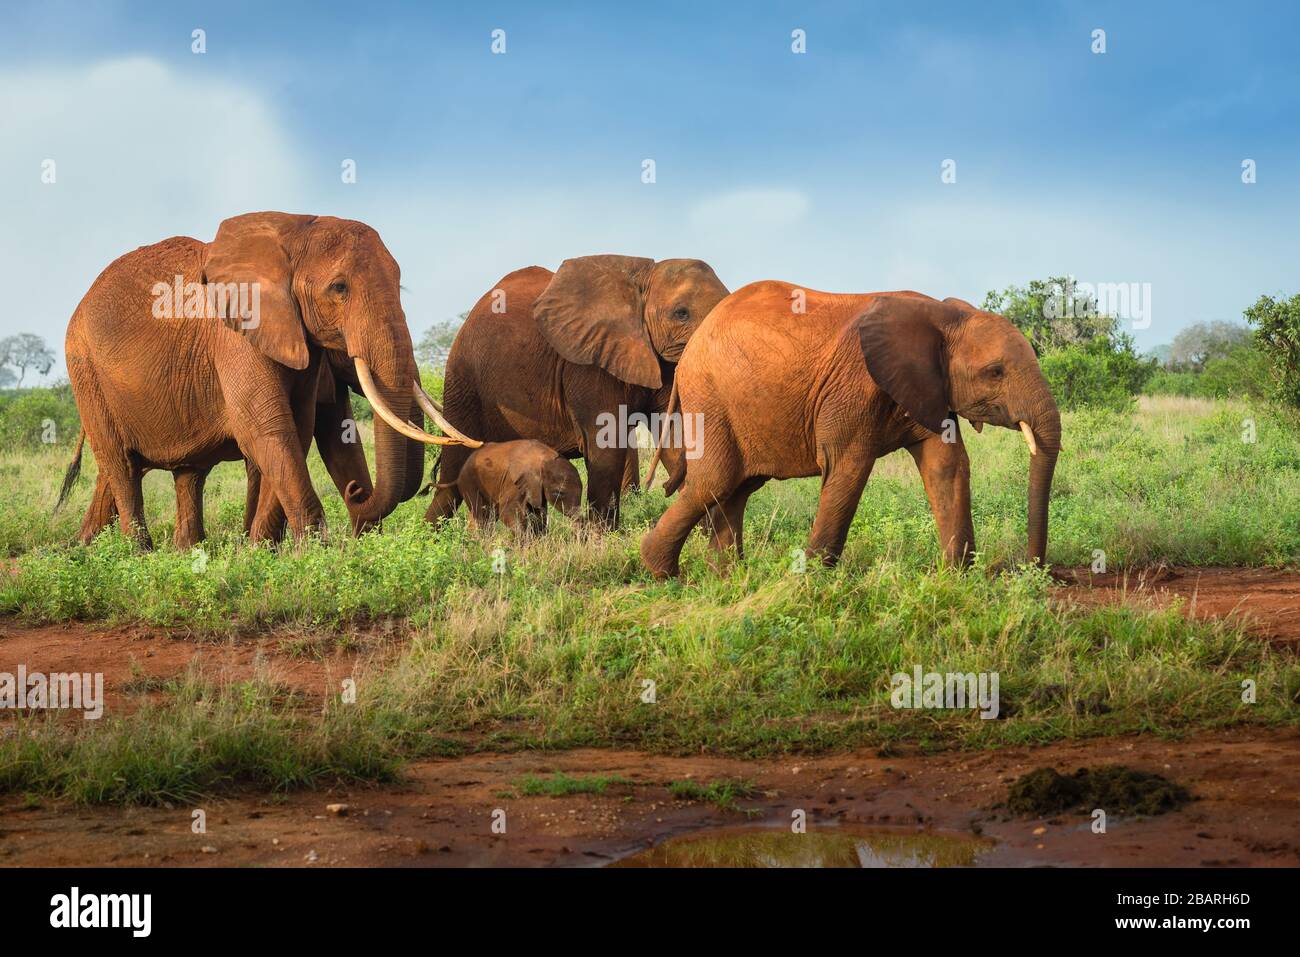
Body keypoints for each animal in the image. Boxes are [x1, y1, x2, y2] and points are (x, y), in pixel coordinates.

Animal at [61, 211, 478, 549]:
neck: (291, 233)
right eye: (339, 288)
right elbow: (268, 430)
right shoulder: (237, 336)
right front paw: (314, 556)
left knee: (184, 473)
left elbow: (308, 432)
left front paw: (259, 550)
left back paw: (169, 552)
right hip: (85, 369)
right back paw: (136, 555)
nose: (357, 492)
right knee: (121, 465)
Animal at [431, 439, 583, 535]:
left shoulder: (535, 487)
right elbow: (508, 511)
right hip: (469, 483)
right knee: (483, 515)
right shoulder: (513, 481)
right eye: (559, 493)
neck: (545, 457)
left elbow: (538, 513)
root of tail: (458, 477)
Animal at [639, 285, 1062, 579]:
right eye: (995, 372)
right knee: (715, 480)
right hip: (710, 398)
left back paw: (727, 578)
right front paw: (811, 580)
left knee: (737, 488)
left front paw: (957, 577)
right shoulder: (855, 387)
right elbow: (848, 468)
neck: (945, 316)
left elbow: (948, 467)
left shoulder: (928, 388)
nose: (1031, 570)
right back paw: (663, 573)